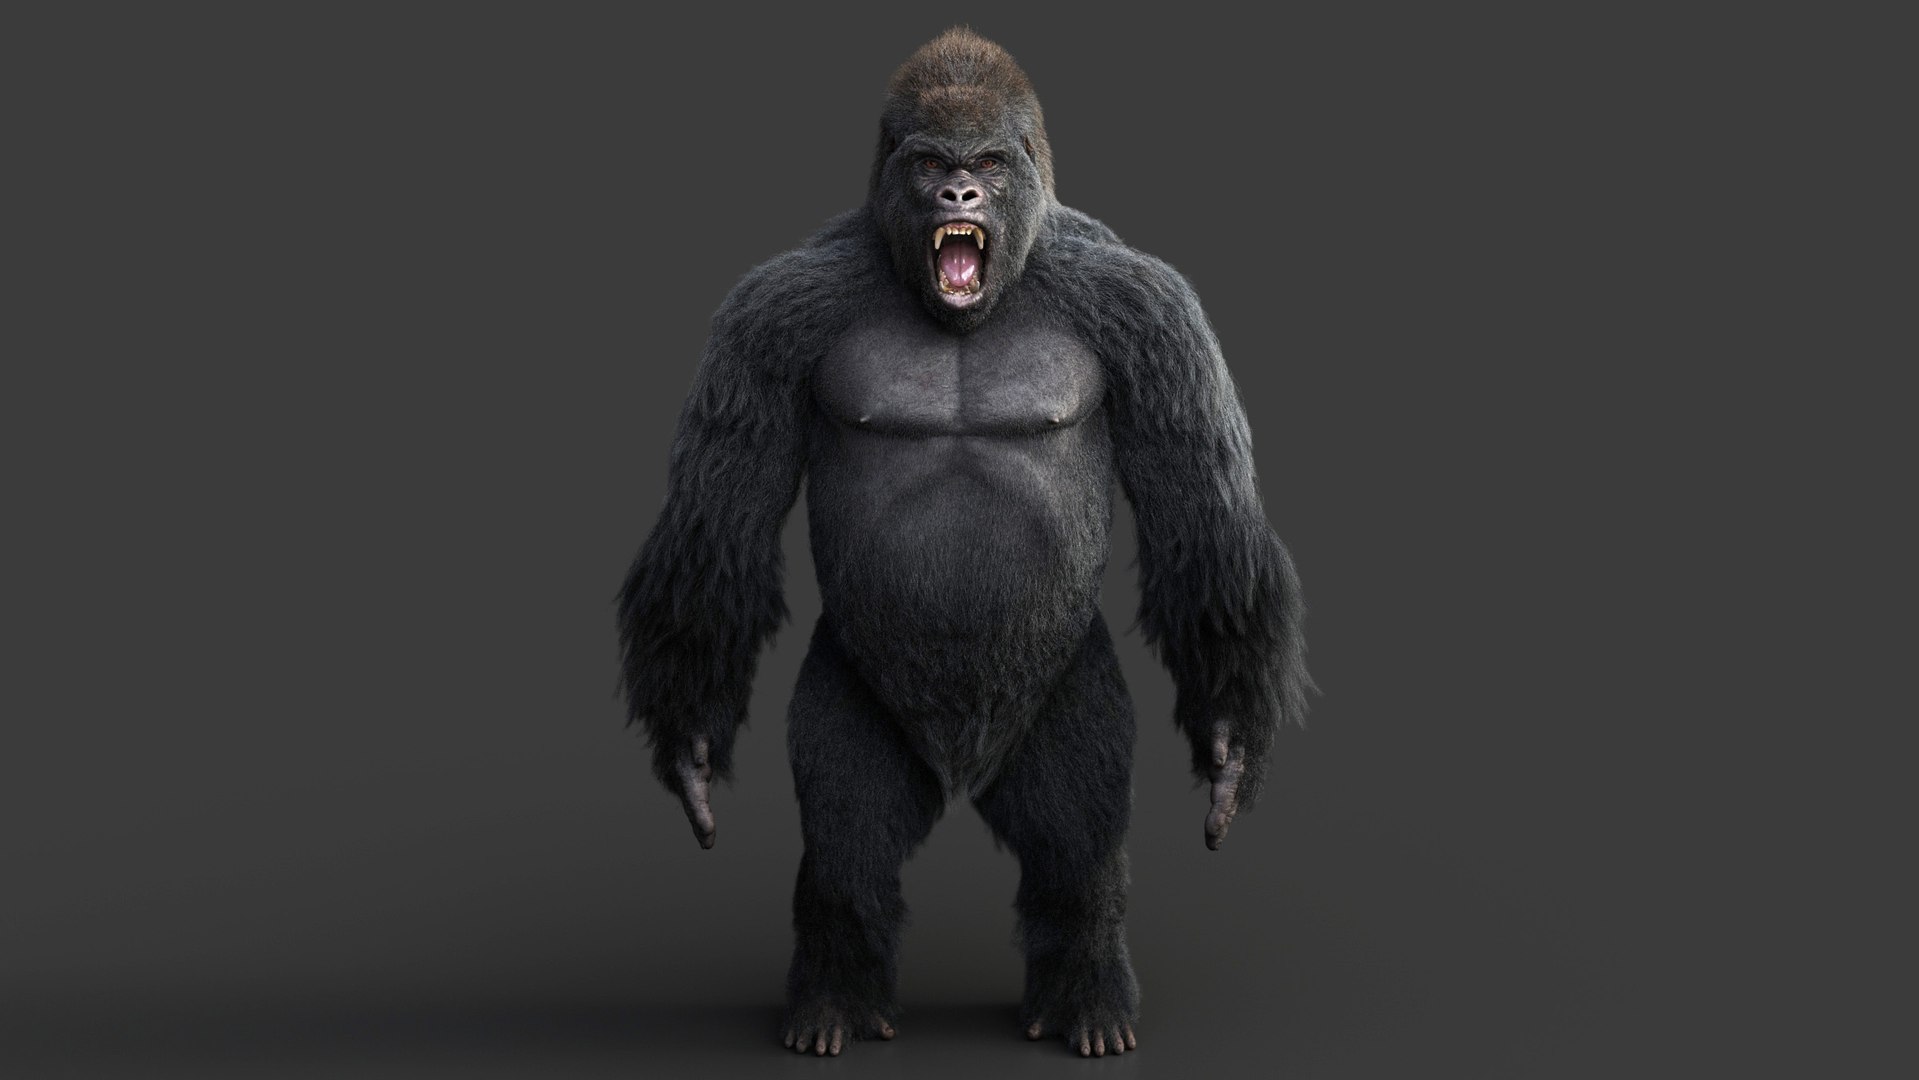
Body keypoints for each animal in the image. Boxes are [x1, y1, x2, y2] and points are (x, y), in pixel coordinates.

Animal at [616, 27, 1312, 1058]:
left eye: (985, 165)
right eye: (930, 165)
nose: (958, 201)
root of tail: (961, 770)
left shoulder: (1151, 309)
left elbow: (1202, 520)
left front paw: (1230, 740)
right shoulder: (768, 313)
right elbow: (718, 529)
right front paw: (691, 743)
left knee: (1075, 844)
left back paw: (1086, 996)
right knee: (848, 846)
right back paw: (835, 997)